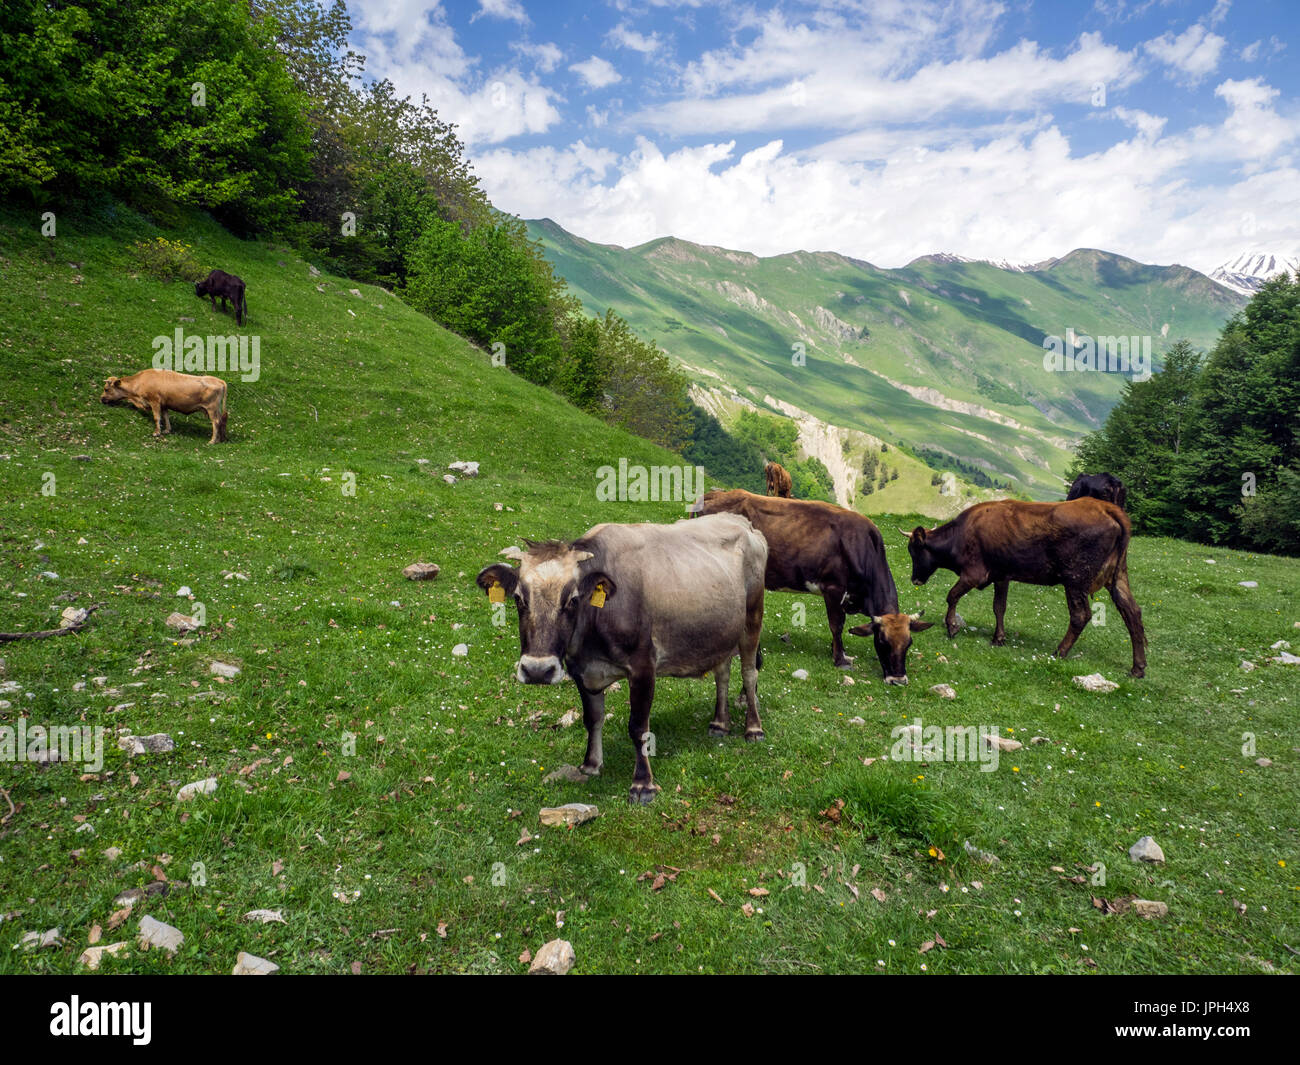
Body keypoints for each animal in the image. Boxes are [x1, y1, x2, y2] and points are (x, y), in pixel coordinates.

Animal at [100, 369, 228, 443]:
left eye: (106, 389)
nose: (101, 398)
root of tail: (219, 380)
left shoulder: (154, 401)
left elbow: (157, 417)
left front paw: (157, 432)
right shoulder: (164, 404)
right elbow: (166, 416)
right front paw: (167, 430)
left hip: (211, 408)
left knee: (216, 422)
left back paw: (212, 441)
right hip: (217, 409)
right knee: (222, 420)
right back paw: (221, 439)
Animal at [476, 514, 768, 804]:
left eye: (573, 600)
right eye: (518, 598)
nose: (537, 671)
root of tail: (742, 522)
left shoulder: (643, 667)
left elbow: (638, 726)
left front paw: (643, 784)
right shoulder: (581, 671)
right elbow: (592, 718)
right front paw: (591, 763)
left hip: (752, 619)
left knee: (749, 673)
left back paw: (753, 729)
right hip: (721, 632)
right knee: (722, 673)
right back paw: (719, 724)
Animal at [694, 489, 932, 681]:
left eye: (909, 643)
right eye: (883, 641)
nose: (898, 679)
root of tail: (712, 495)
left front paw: (839, 652)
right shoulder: (833, 588)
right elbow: (837, 625)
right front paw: (839, 659)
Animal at [904, 497, 1146, 677]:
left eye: (914, 551)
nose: (914, 579)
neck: (961, 534)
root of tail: (1104, 507)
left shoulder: (973, 574)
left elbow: (952, 596)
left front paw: (952, 627)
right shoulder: (1001, 575)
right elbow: (999, 607)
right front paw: (998, 638)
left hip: (1075, 579)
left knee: (1081, 615)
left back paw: (1059, 651)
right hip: (1117, 576)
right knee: (1132, 612)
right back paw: (1138, 668)